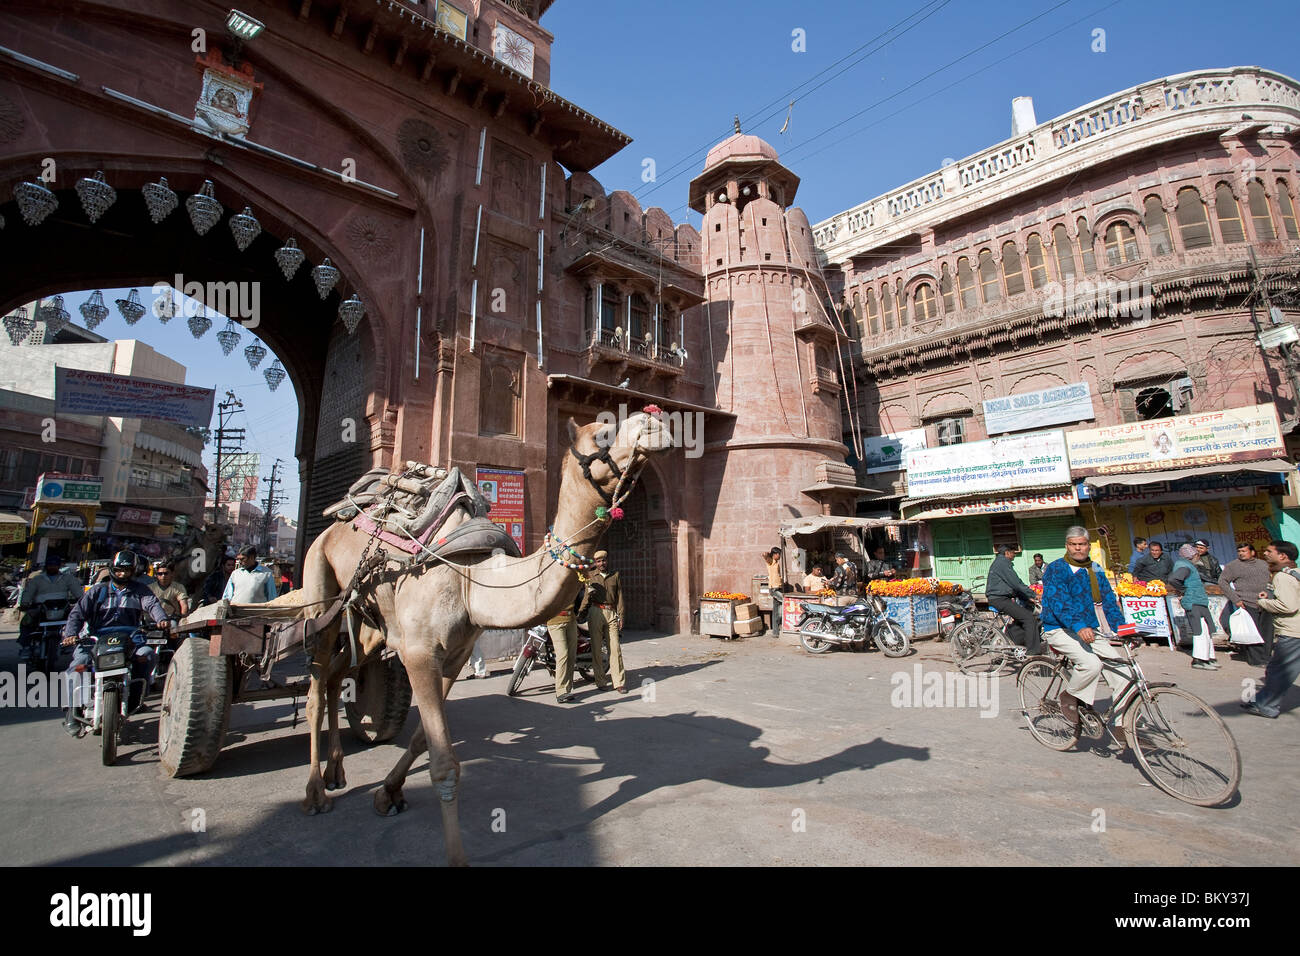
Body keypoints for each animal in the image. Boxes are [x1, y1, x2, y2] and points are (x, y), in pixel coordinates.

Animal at [297, 410, 673, 865]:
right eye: (603, 432)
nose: (655, 422)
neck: (473, 579)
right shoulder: (420, 652)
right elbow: (444, 763)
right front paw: (456, 856)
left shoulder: (454, 653)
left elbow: (422, 737)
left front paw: (387, 793)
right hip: (320, 581)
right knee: (317, 682)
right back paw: (315, 793)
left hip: (372, 624)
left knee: (338, 674)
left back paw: (337, 771)